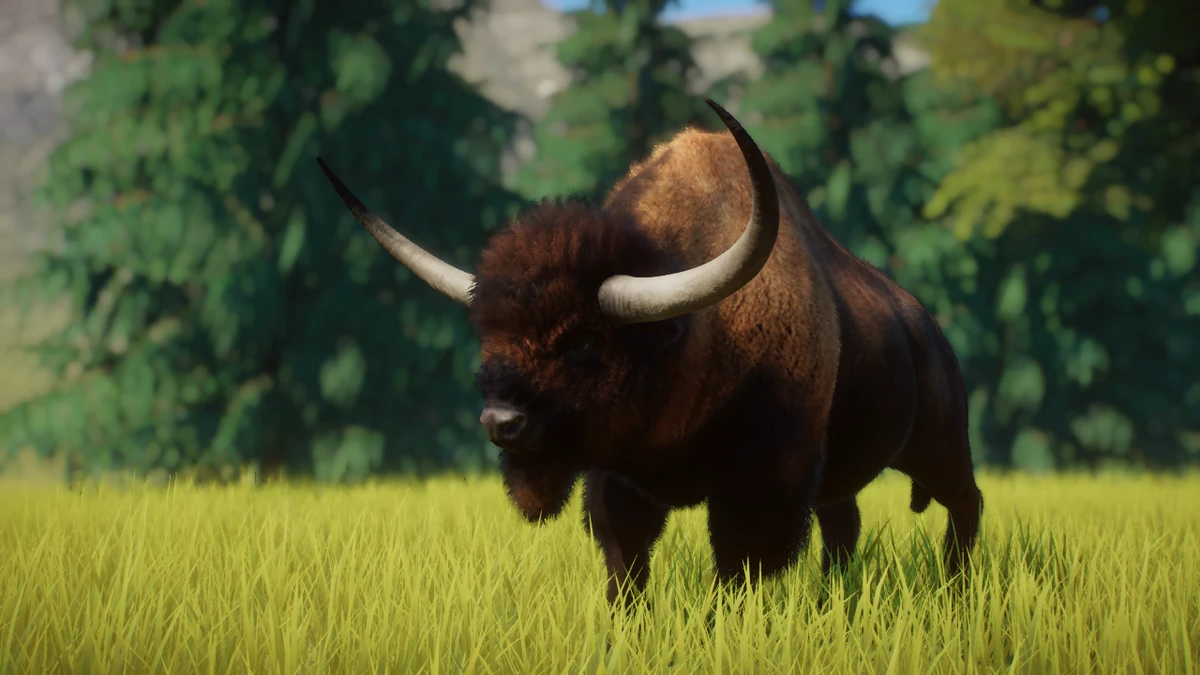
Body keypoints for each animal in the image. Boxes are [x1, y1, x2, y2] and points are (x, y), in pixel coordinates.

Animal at [316, 98, 984, 604]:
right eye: (490, 335)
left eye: (584, 340)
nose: (501, 422)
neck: (690, 334)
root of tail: (928, 326)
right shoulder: (618, 482)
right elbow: (627, 563)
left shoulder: (765, 480)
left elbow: (739, 568)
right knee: (845, 526)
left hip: (940, 447)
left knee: (965, 502)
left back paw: (957, 589)